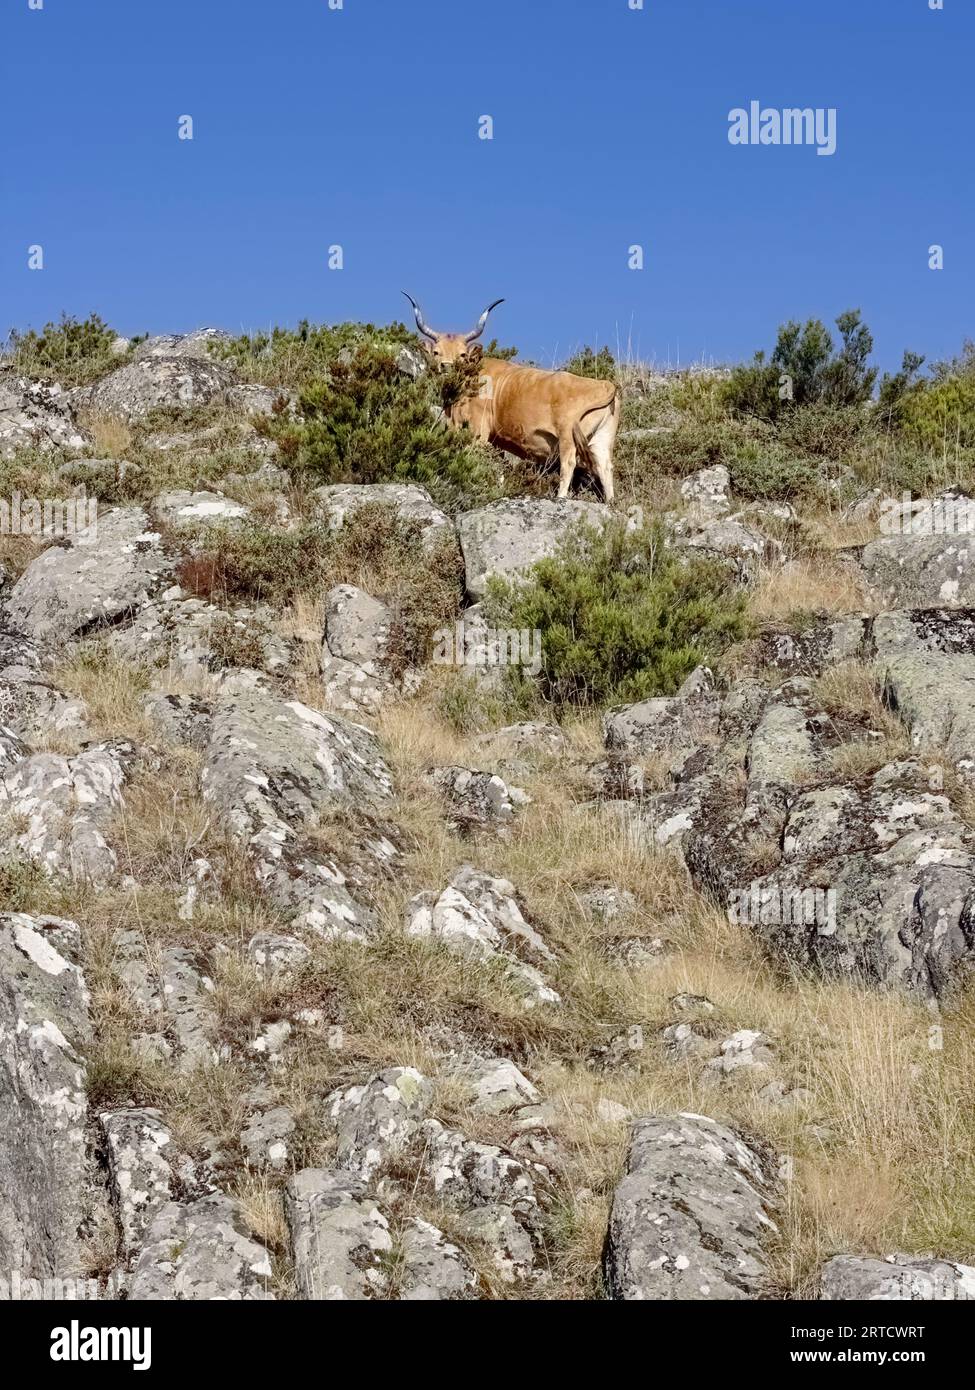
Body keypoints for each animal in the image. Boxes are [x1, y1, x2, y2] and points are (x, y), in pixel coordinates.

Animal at [402, 293, 619, 503]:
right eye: (436, 352)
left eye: (462, 354)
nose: (446, 367)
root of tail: (605, 384)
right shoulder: (494, 439)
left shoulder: (478, 430)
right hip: (602, 439)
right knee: (605, 468)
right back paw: (610, 503)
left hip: (567, 436)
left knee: (568, 464)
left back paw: (561, 498)